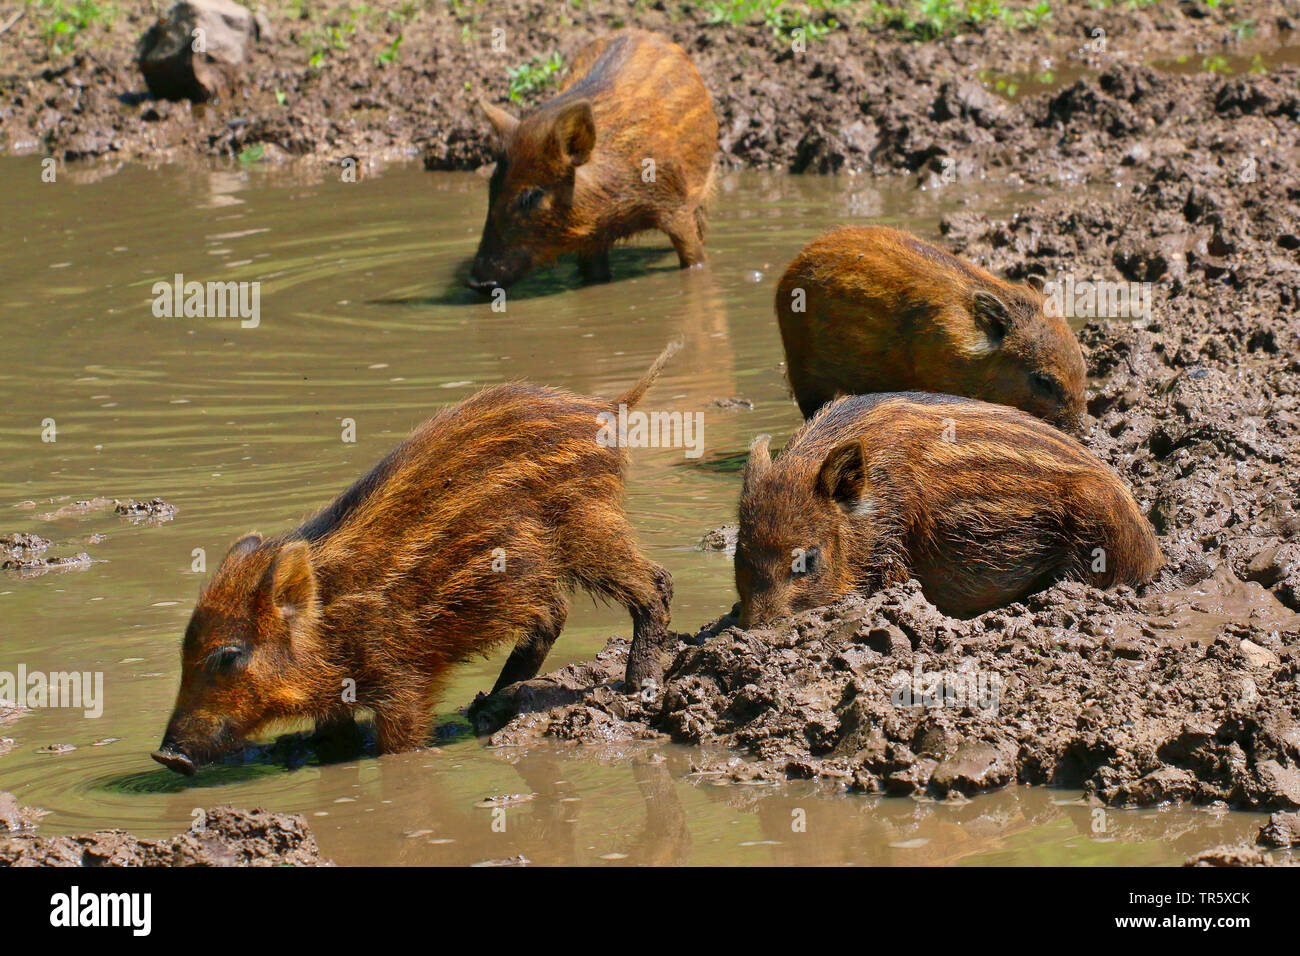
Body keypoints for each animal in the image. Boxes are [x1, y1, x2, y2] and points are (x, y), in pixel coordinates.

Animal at [151, 344, 681, 774]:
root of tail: (602, 408)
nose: (167, 755)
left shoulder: (402, 677)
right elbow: (335, 737)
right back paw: (486, 706)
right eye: (184, 653)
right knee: (554, 615)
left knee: (654, 584)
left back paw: (639, 685)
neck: (332, 623)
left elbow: (399, 744)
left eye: (229, 655)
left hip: (589, 528)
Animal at [467, 29, 718, 291]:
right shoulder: (592, 238)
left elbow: (694, 258)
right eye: (491, 188)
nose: (475, 282)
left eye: (530, 196)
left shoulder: (676, 207)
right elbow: (594, 274)